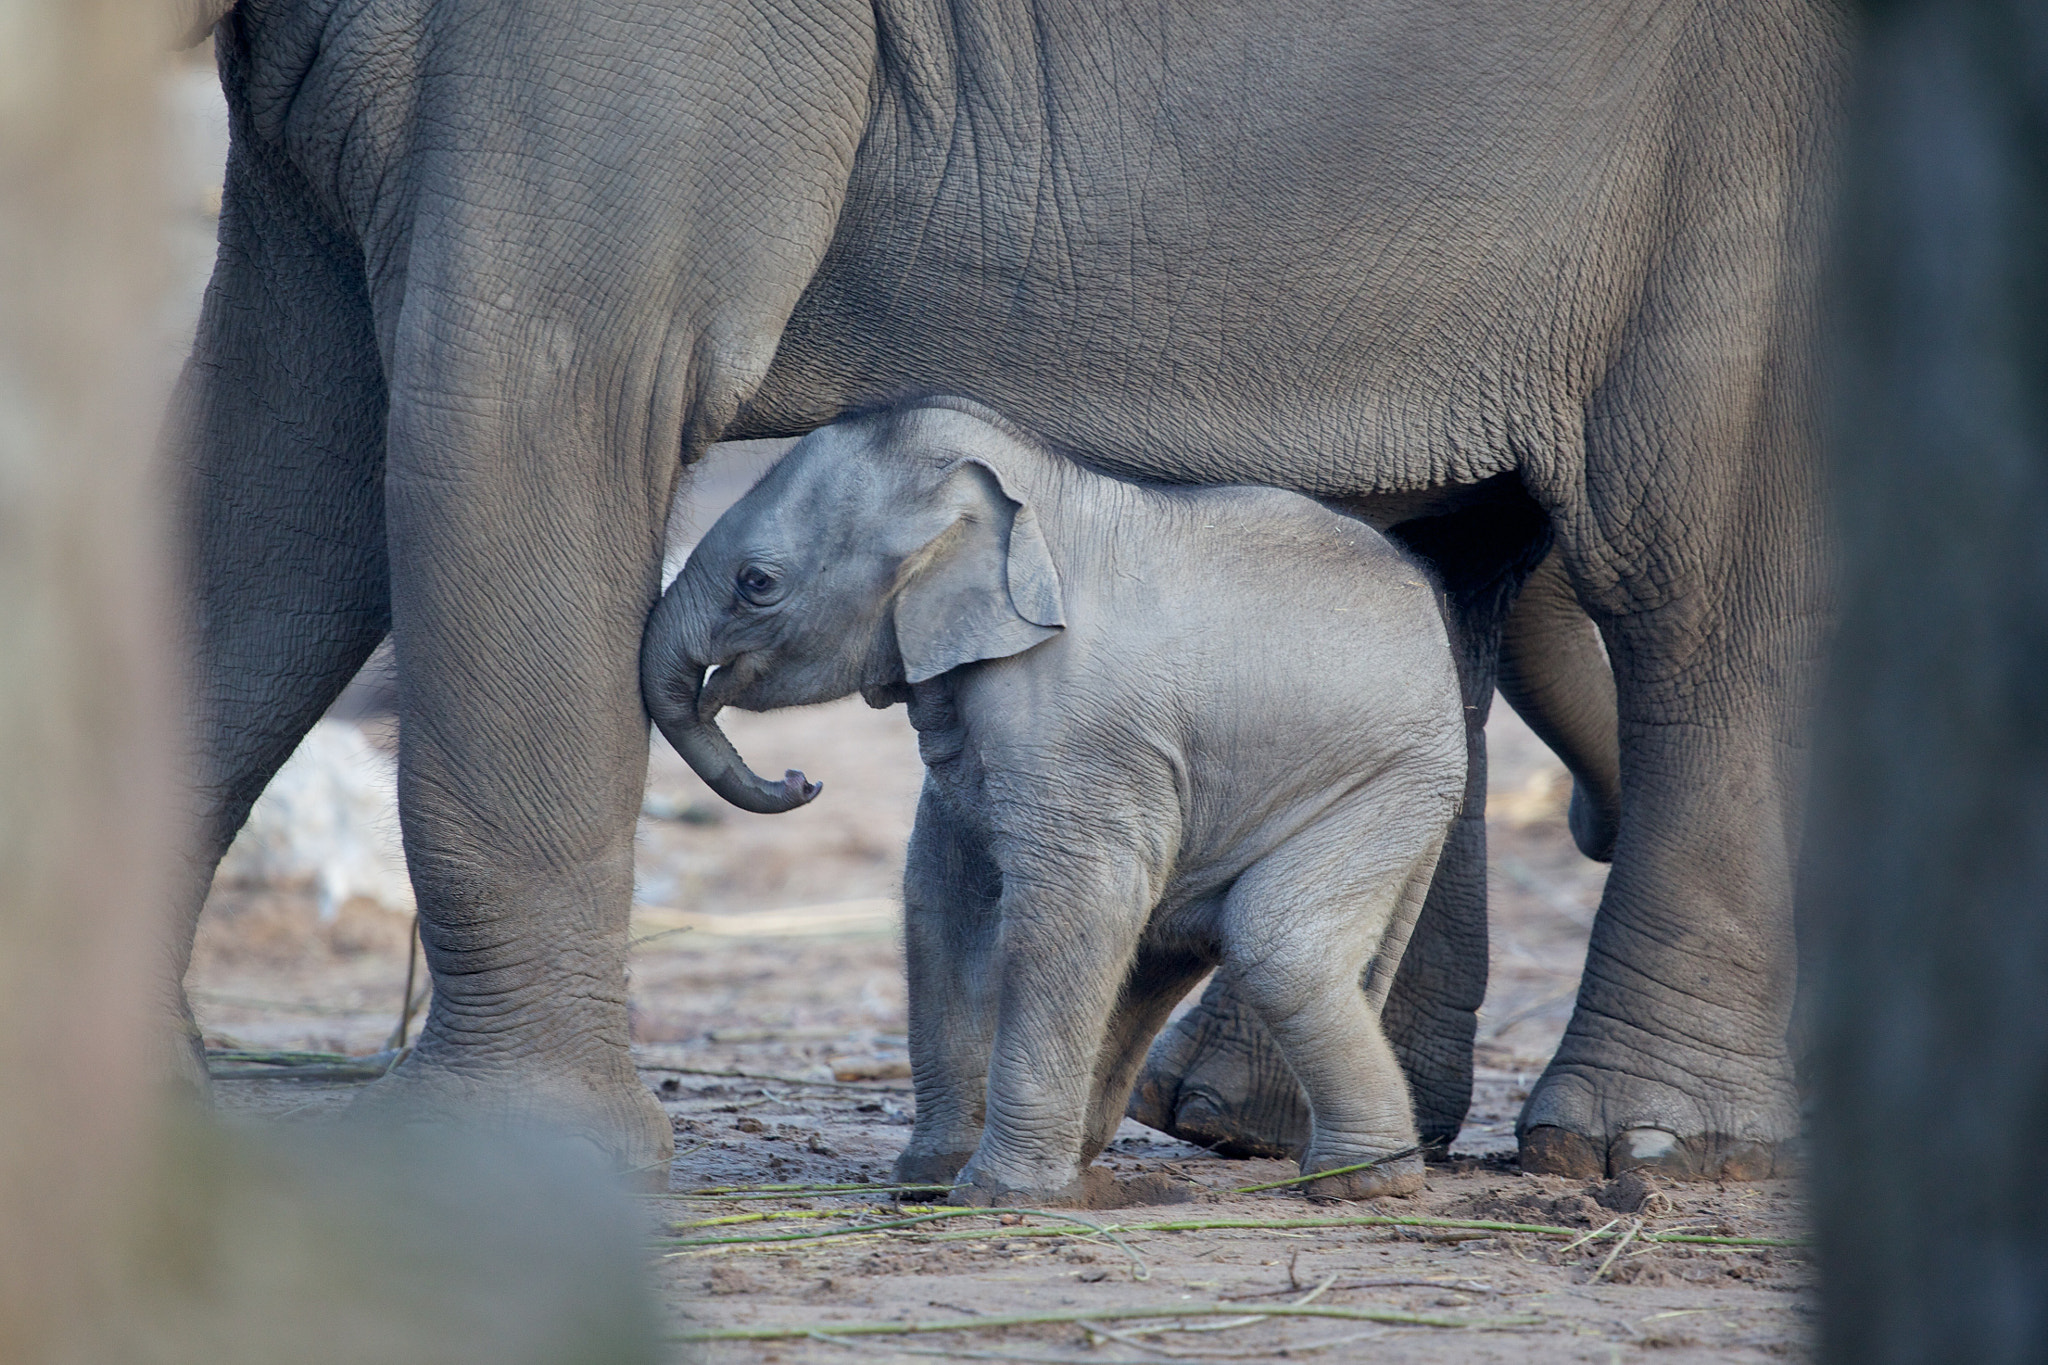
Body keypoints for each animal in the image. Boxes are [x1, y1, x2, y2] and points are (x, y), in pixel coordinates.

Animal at [647, 397, 1466, 1203]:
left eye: (758, 582)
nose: (802, 780)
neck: (1030, 492)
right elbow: (940, 901)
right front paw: (926, 1179)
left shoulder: (1078, 724)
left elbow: (1075, 902)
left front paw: (994, 1194)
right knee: (1165, 941)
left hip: (1385, 786)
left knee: (1277, 944)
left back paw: (1359, 1184)